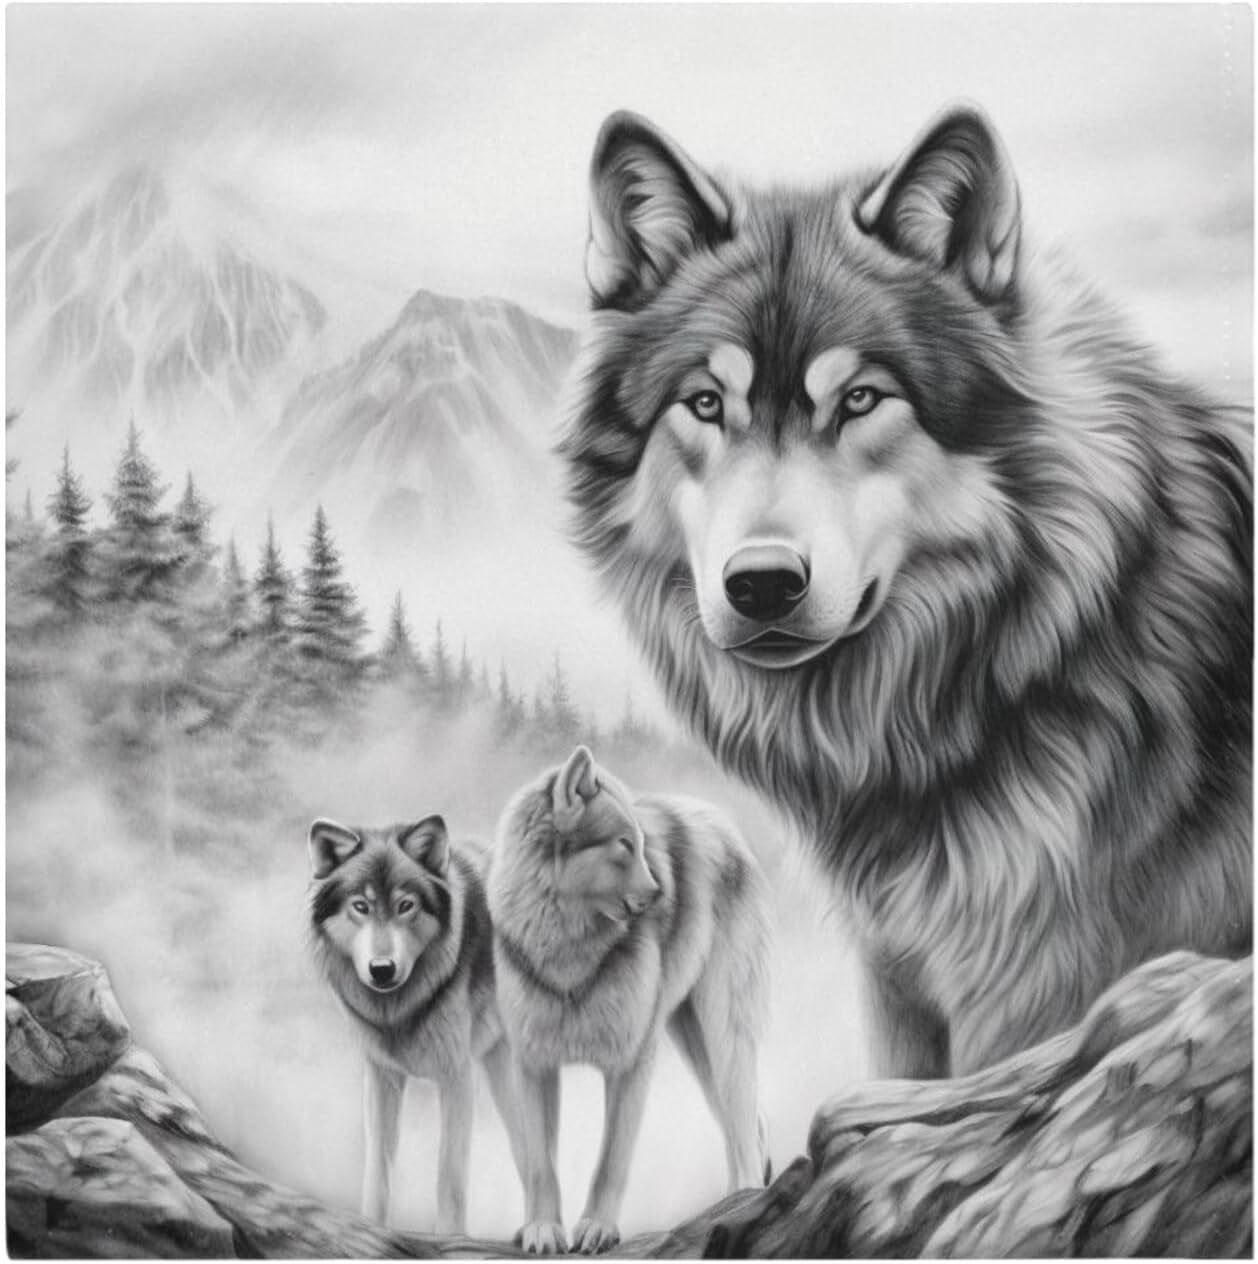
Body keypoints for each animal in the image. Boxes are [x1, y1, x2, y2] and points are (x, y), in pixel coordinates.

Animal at [307, 815, 523, 1233]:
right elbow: (378, 1167)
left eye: (406, 905)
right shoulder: (381, 1077)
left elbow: (449, 1174)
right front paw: (372, 1228)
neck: (399, 1009)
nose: (382, 969)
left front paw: (451, 1238)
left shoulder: (457, 1078)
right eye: (361, 906)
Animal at [486, 745, 771, 1255]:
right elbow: (540, 1162)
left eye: (640, 844)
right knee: (749, 1125)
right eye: (622, 844)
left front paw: (596, 1229)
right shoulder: (532, 1062)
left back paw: (742, 1202)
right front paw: (542, 1229)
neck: (568, 954)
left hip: (723, 1034)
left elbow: (611, 1160)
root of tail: (721, 821)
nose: (662, 896)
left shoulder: (632, 1059)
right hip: (691, 1039)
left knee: (742, 1129)